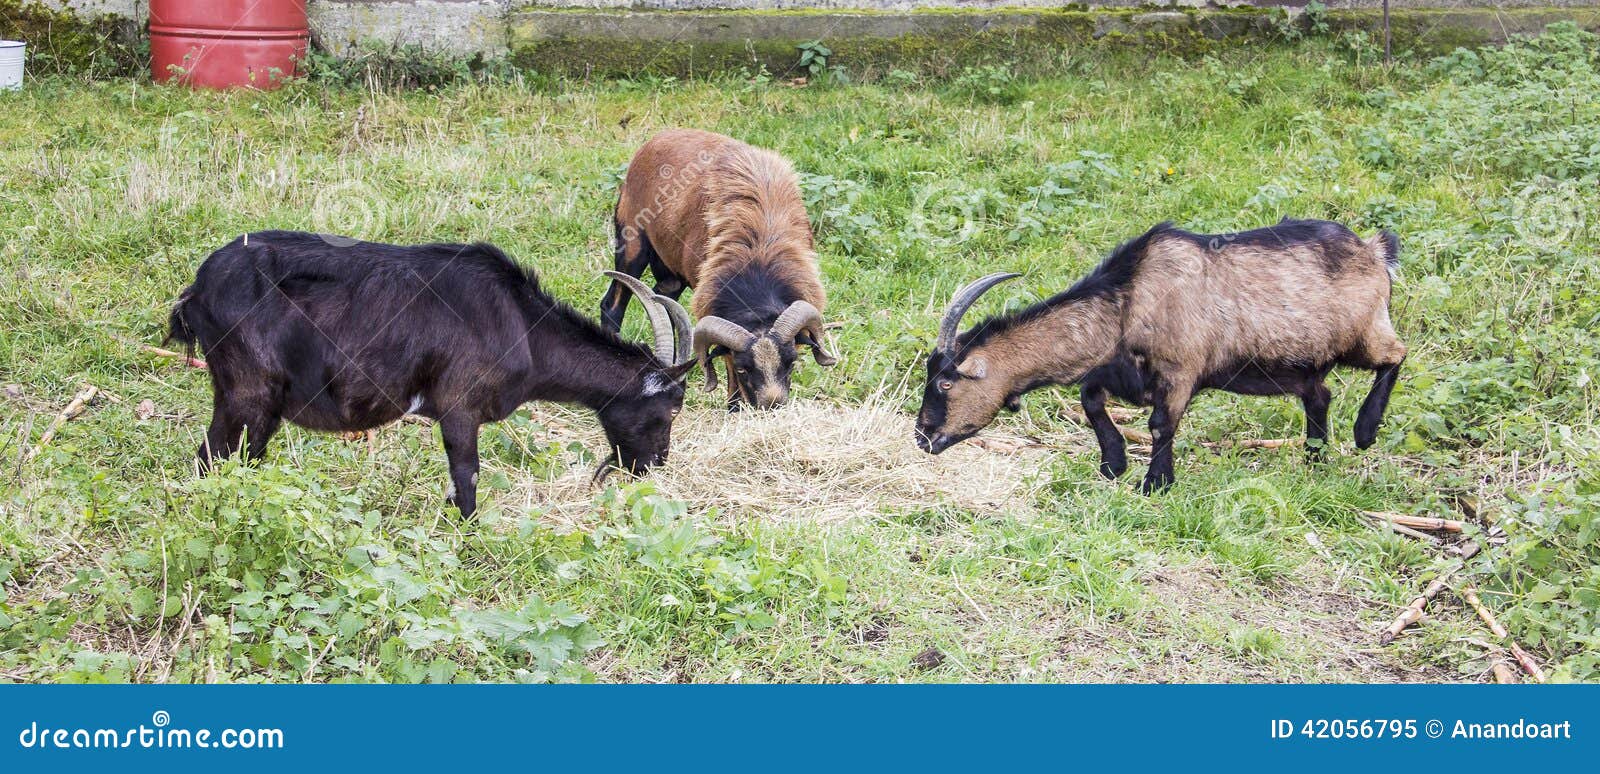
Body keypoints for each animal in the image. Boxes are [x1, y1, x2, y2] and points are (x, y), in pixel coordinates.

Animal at [166, 231, 695, 516]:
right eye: (671, 408)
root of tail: (196, 290)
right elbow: (468, 478)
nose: (653, 466)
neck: (523, 326)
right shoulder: (460, 407)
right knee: (209, 457)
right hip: (246, 390)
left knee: (242, 457)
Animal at [601, 129, 837, 410]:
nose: (771, 407)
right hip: (632, 242)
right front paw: (734, 408)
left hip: (671, 273)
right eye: (744, 368)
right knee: (612, 305)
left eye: (791, 363)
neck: (758, 260)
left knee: (664, 301)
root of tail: (659, 137)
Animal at [915, 219, 1407, 493]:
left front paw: (1155, 484)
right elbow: (1089, 400)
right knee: (1319, 395)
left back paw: (1364, 432)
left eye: (945, 382)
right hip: (1299, 365)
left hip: (1363, 331)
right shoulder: (1117, 371)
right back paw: (1314, 458)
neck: (1129, 300)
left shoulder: (1180, 371)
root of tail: (1374, 249)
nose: (922, 436)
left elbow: (1159, 425)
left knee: (1395, 354)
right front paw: (1114, 464)